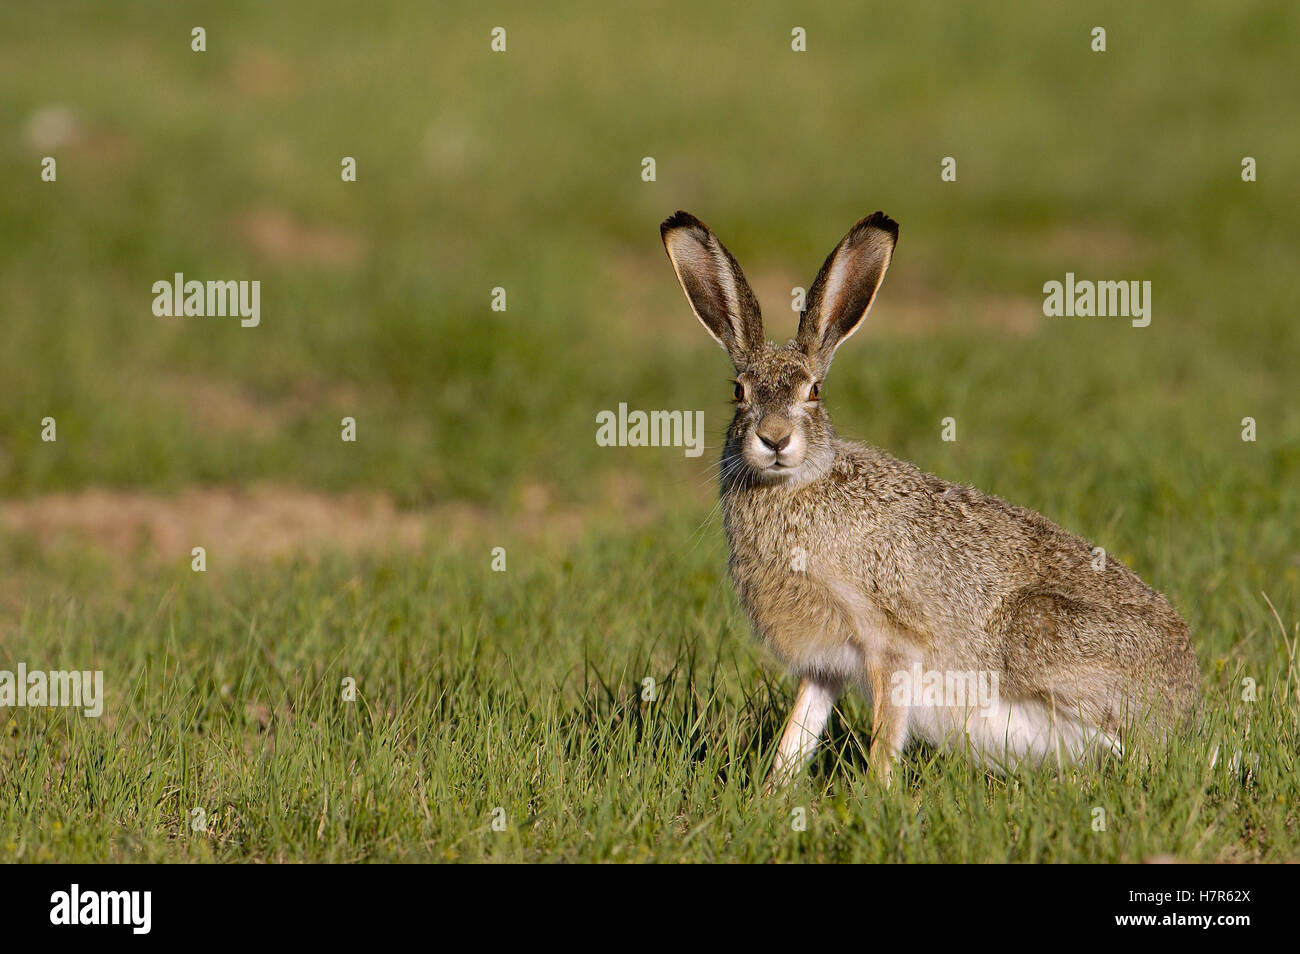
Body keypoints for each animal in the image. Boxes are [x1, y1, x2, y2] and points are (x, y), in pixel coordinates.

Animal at [659, 209, 1200, 787]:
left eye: (815, 392)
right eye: (739, 392)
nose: (775, 438)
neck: (798, 487)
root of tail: (1187, 696)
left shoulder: (890, 643)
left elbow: (885, 731)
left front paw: (876, 791)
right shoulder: (825, 664)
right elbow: (799, 730)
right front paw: (773, 792)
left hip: (1036, 630)